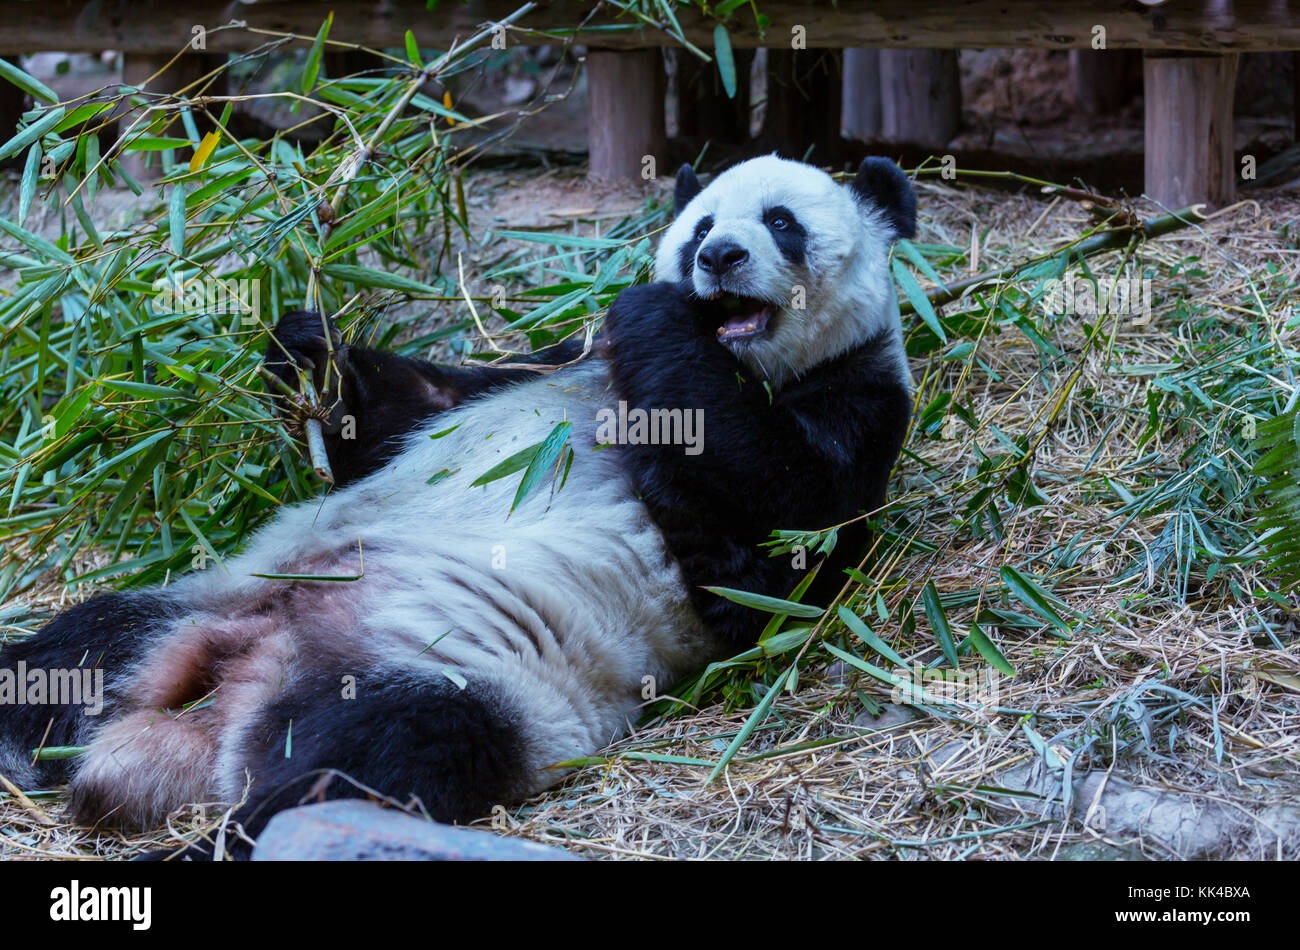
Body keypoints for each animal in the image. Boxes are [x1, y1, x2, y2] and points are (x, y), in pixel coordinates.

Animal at [0, 154, 915, 857]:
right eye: (699, 225)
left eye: (782, 222)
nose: (719, 257)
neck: (758, 366)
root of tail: (231, 704)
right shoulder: (555, 357)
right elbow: (412, 410)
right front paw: (307, 348)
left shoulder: (857, 412)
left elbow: (769, 559)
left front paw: (661, 328)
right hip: (219, 595)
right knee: (87, 645)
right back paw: (26, 736)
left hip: (461, 674)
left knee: (372, 757)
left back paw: (228, 833)